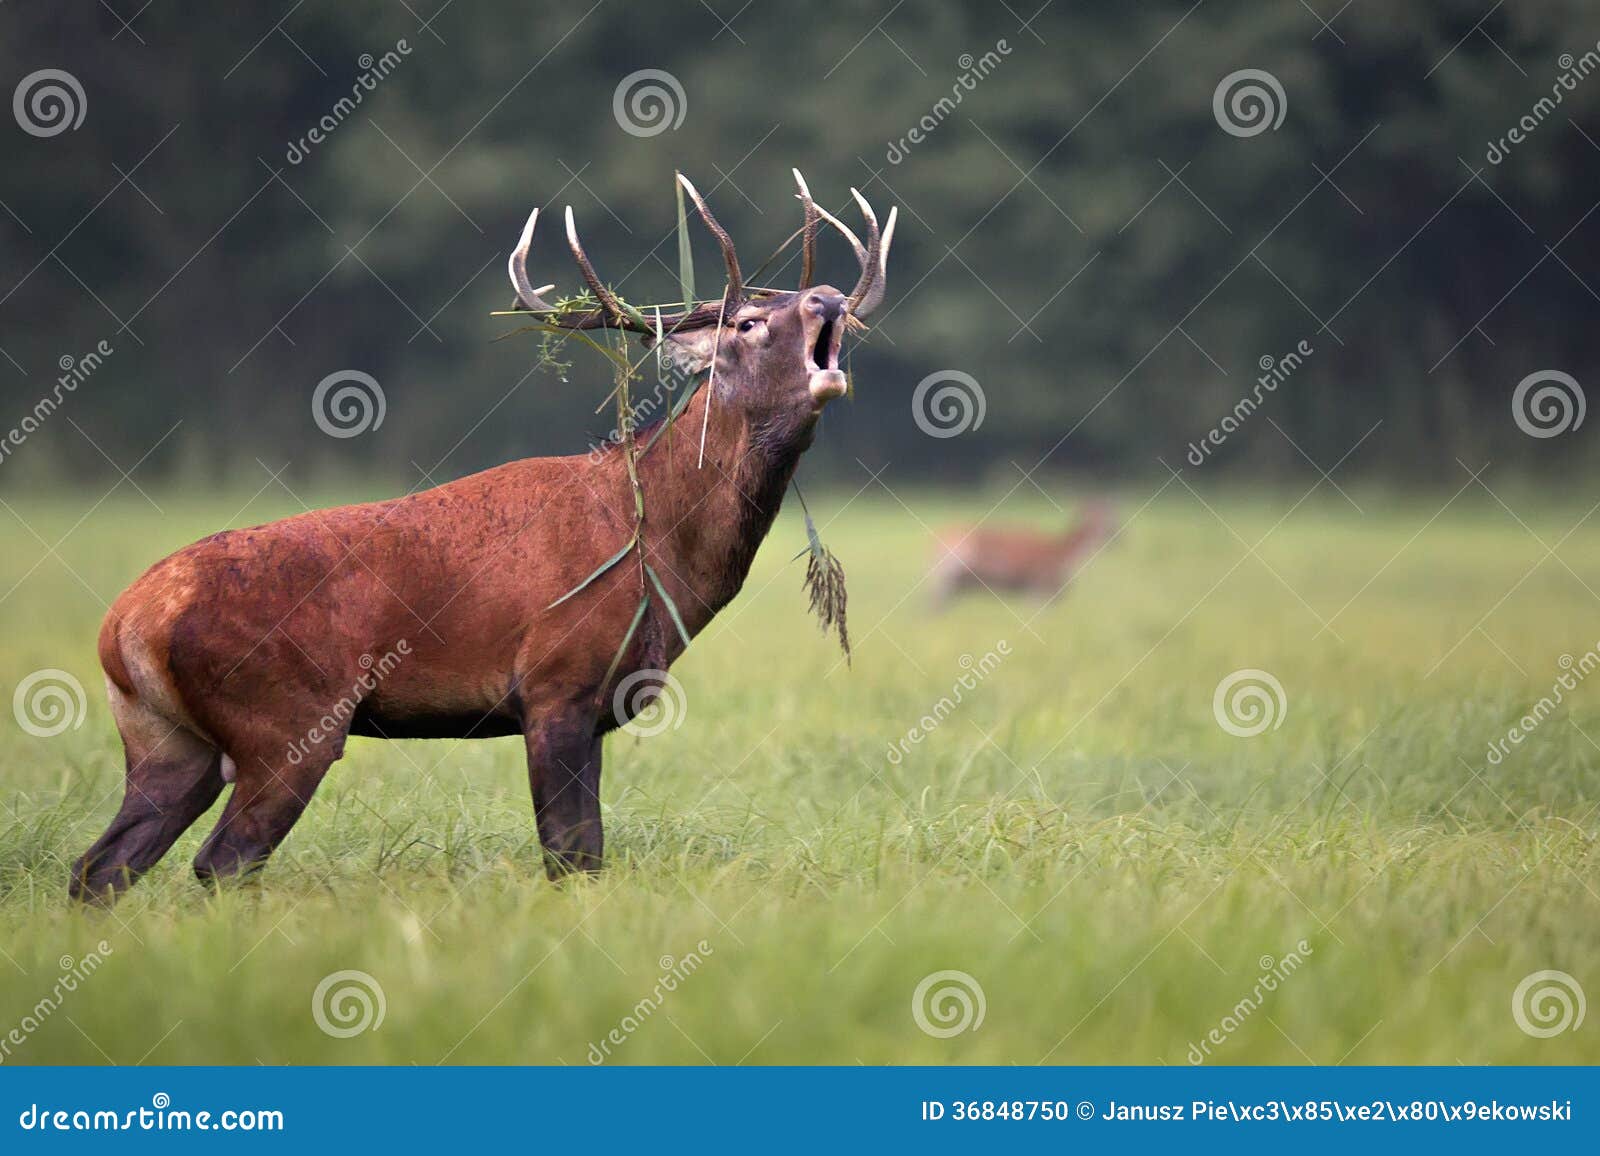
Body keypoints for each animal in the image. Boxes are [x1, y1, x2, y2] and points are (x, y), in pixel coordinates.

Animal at [70, 172, 896, 903]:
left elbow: (587, 855)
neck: (658, 554)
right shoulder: (555, 682)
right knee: (221, 863)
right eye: (750, 324)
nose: (828, 297)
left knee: (98, 868)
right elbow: (572, 857)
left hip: (164, 738)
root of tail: (126, 622)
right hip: (285, 720)